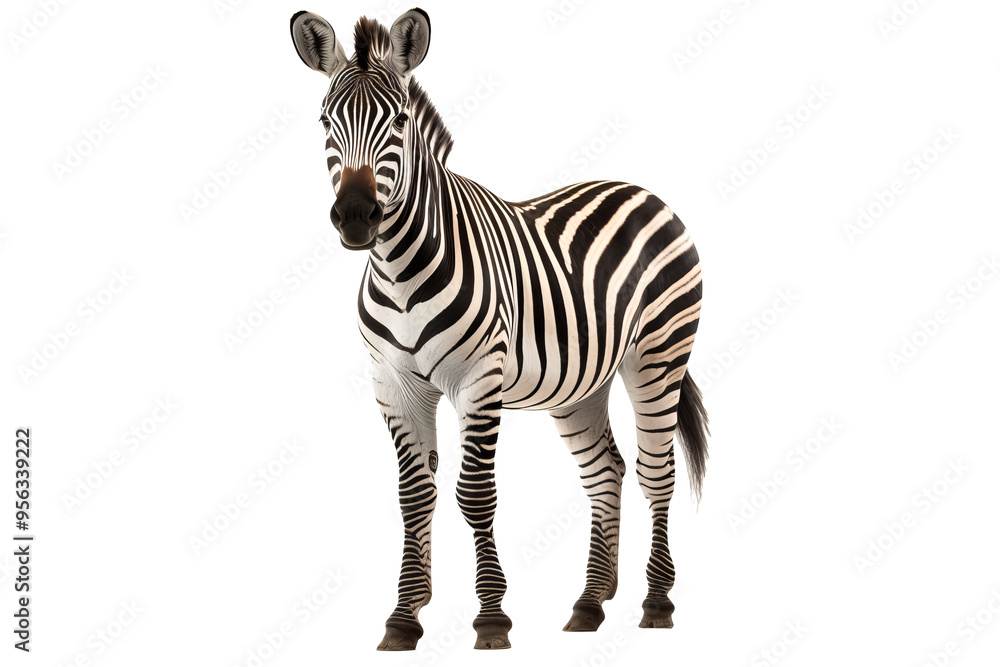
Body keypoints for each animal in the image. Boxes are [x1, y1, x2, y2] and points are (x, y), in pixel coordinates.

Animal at [290, 8, 709, 651]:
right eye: (325, 121)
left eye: (400, 120)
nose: (356, 217)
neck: (398, 268)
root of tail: (640, 190)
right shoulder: (392, 384)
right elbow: (415, 497)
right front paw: (403, 618)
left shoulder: (478, 381)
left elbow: (474, 495)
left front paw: (491, 617)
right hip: (582, 386)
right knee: (604, 473)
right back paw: (589, 604)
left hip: (659, 356)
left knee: (654, 474)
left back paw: (656, 603)